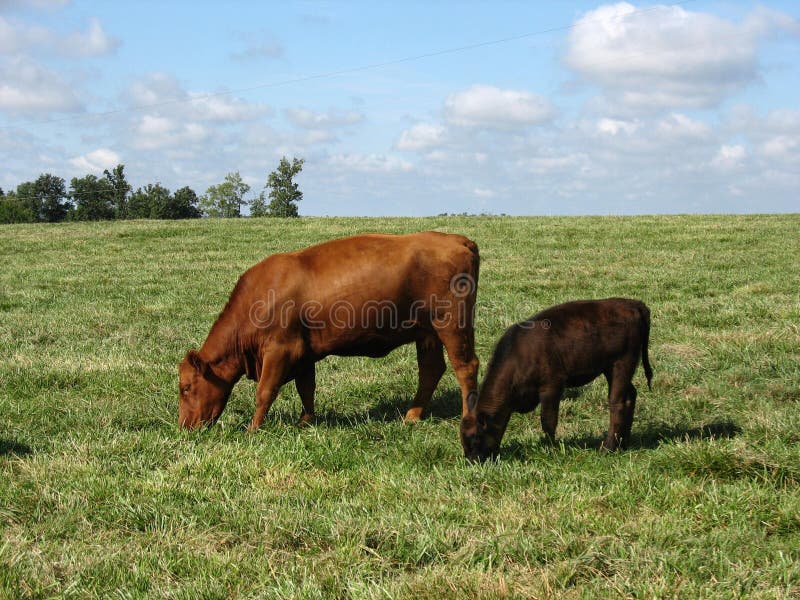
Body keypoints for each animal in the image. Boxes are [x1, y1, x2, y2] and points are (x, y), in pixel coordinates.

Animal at [179, 232, 480, 431]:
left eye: (186, 387)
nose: (183, 426)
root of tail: (456, 239)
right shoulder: (303, 353)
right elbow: (306, 387)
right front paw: (306, 421)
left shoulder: (280, 350)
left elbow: (265, 391)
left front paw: (253, 429)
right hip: (427, 332)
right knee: (431, 370)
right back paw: (412, 416)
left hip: (453, 325)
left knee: (466, 367)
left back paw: (467, 419)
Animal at [460, 298, 652, 461]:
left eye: (476, 438)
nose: (472, 461)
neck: (519, 357)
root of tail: (633, 304)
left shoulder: (551, 387)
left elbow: (548, 421)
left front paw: (550, 449)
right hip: (610, 369)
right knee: (630, 396)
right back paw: (623, 443)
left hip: (621, 364)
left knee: (617, 402)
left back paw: (608, 447)